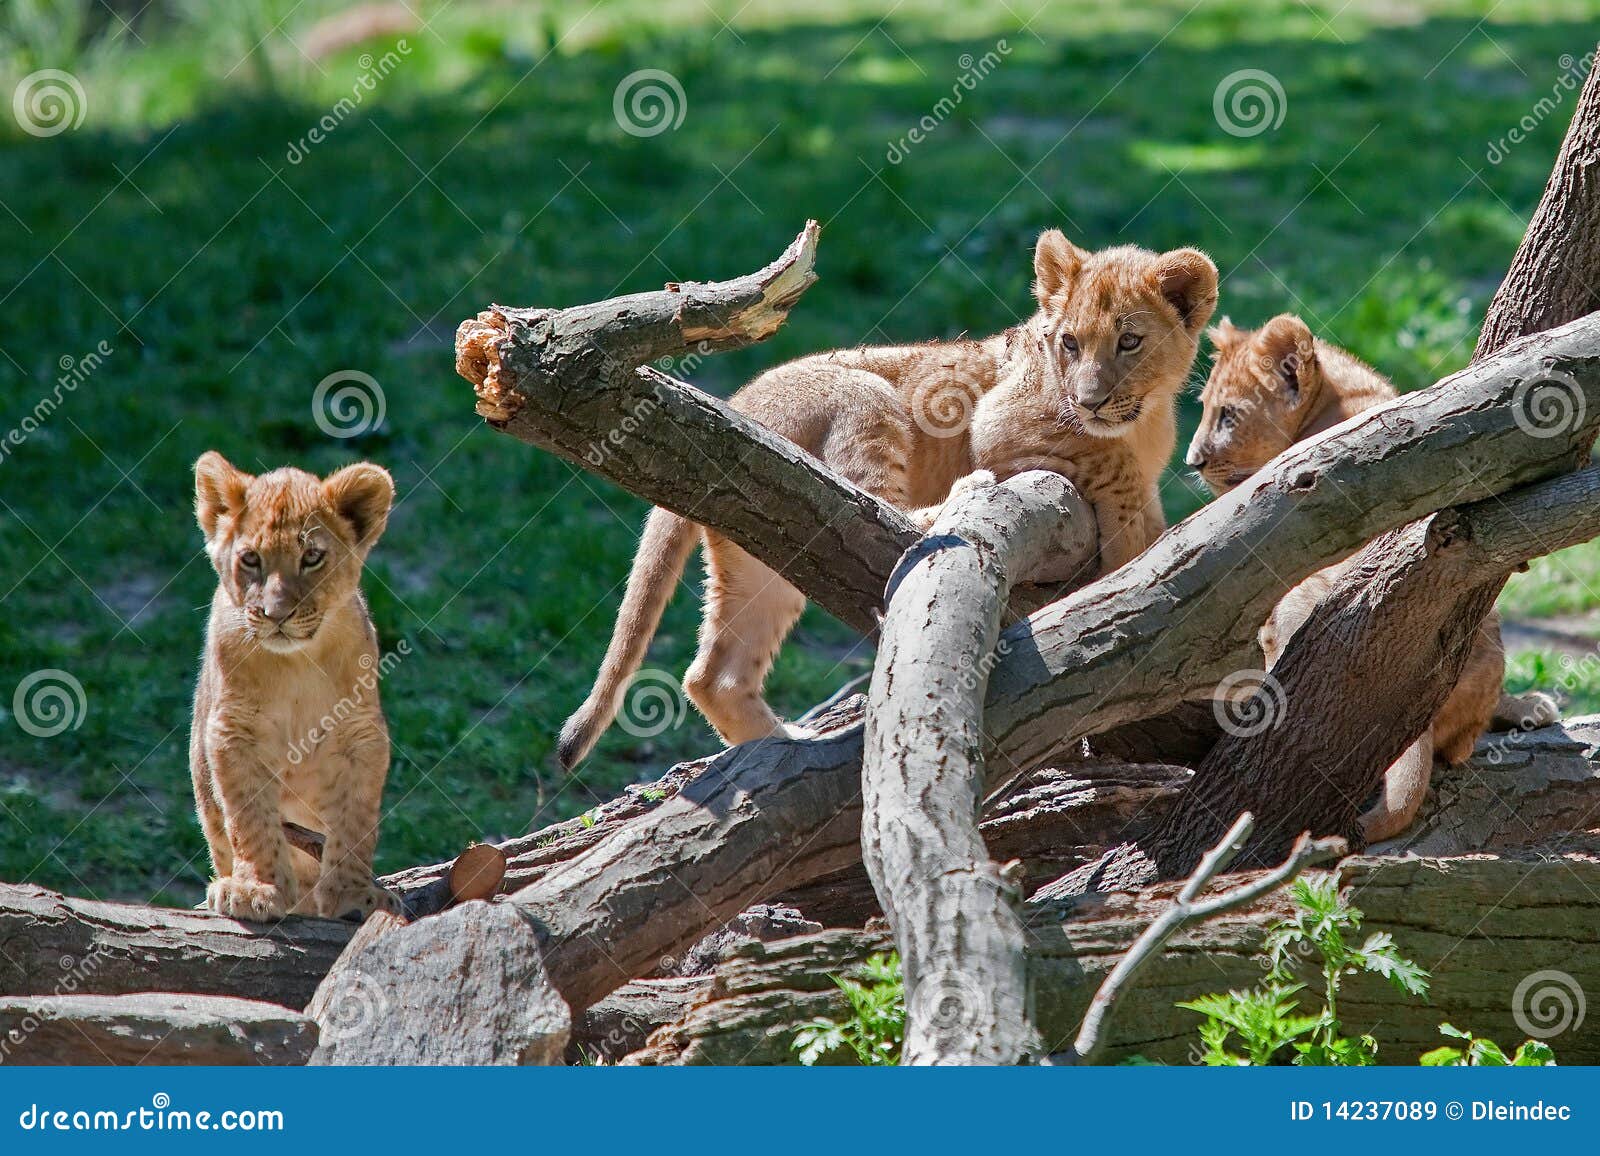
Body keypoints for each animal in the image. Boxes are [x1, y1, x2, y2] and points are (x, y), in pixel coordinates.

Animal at [190, 451, 399, 921]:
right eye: (251, 559)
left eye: (312, 556)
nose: (276, 613)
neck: (296, 664)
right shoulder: (232, 733)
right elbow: (250, 820)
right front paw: (256, 889)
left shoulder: (361, 735)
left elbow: (355, 820)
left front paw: (353, 894)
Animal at [559, 230, 1218, 768]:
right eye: (1071, 344)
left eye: (1129, 341)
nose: (1089, 400)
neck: (1145, 418)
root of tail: (734, 403)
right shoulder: (1001, 421)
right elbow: (1108, 461)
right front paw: (1134, 539)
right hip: (867, 395)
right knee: (875, 503)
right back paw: (963, 493)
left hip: (764, 552)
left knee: (711, 675)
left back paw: (785, 747)